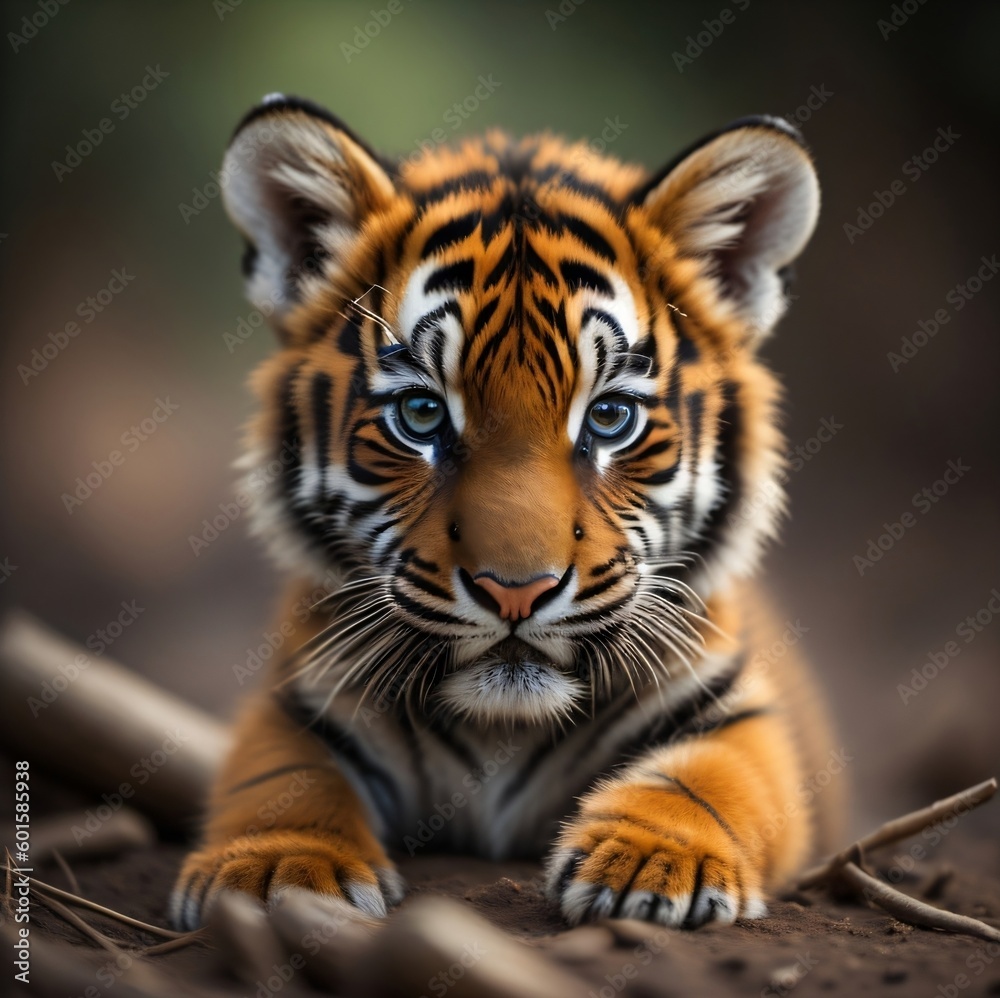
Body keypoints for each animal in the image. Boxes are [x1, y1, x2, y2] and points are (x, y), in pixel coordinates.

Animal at [170, 94, 842, 932]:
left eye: (610, 417)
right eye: (422, 415)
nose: (516, 591)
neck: (502, 727)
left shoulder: (734, 709)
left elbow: (713, 777)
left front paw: (656, 861)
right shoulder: (301, 701)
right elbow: (281, 779)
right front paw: (274, 871)